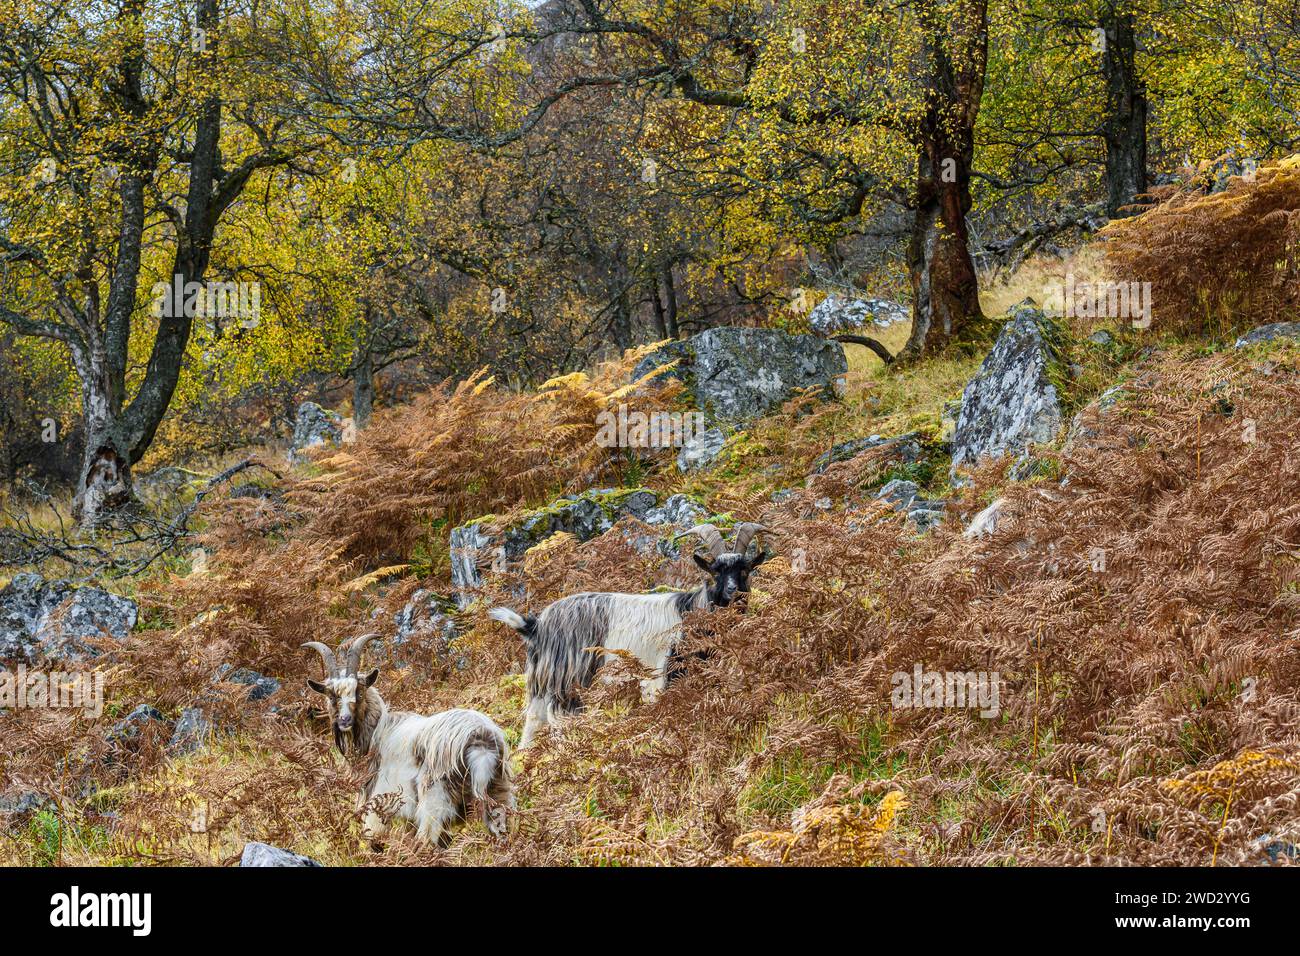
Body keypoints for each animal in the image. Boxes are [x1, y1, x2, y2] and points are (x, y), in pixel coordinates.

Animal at [303, 634, 514, 847]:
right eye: (331, 697)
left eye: (359, 693)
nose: (344, 720)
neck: (379, 732)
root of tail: (480, 739)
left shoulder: (381, 807)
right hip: (498, 791)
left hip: (434, 799)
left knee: (427, 840)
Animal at [490, 522, 768, 747]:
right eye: (715, 571)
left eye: (745, 570)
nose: (733, 592)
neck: (692, 612)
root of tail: (537, 625)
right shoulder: (664, 676)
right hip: (568, 679)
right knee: (556, 718)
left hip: (543, 678)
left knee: (533, 719)